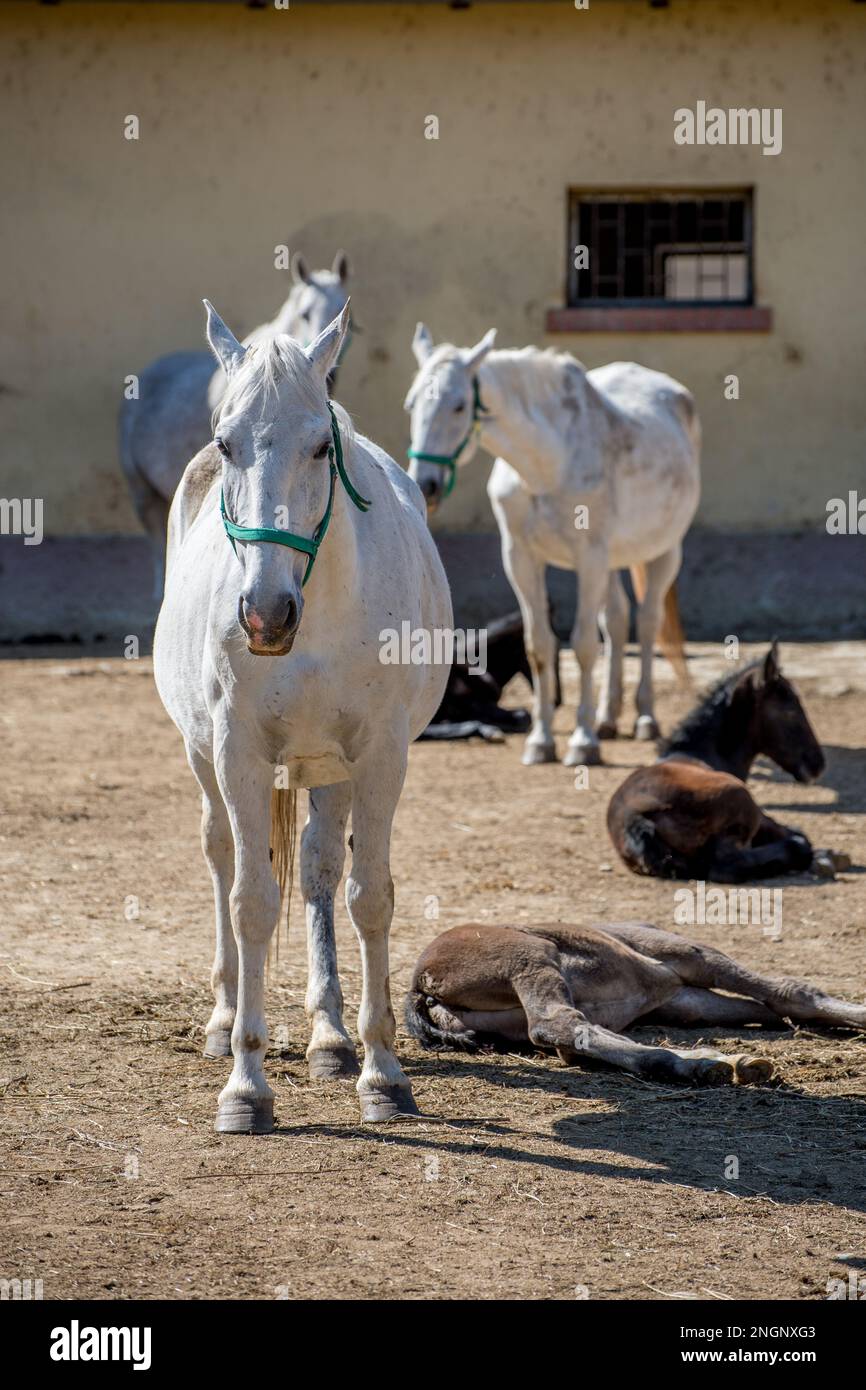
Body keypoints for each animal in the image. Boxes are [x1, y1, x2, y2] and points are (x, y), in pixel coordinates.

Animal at [153, 299, 451, 1134]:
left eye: (322, 445)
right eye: (227, 442)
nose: (264, 614)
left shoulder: (378, 757)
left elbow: (367, 897)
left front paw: (381, 1072)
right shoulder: (237, 755)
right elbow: (251, 902)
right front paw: (246, 1086)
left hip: (330, 768)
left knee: (320, 871)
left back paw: (330, 1036)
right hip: (203, 759)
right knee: (223, 858)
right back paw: (225, 1020)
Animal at [405, 325, 700, 768]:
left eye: (459, 406)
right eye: (411, 404)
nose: (426, 484)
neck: (546, 467)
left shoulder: (590, 558)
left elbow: (583, 645)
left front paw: (582, 742)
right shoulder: (521, 559)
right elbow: (540, 645)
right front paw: (542, 741)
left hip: (663, 552)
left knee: (647, 624)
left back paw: (644, 717)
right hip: (613, 560)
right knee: (617, 620)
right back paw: (607, 717)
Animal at [406, 920, 866, 1085]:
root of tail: (420, 982)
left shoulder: (684, 998)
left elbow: (771, 1007)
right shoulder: (690, 957)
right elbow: (790, 993)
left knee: (576, 1043)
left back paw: (714, 1065)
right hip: (530, 958)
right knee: (557, 1024)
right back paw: (697, 1066)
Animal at [607, 644, 829, 882]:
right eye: (790, 711)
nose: (818, 764)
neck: (700, 754)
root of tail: (635, 818)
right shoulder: (763, 820)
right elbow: (800, 837)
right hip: (742, 805)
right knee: (731, 863)